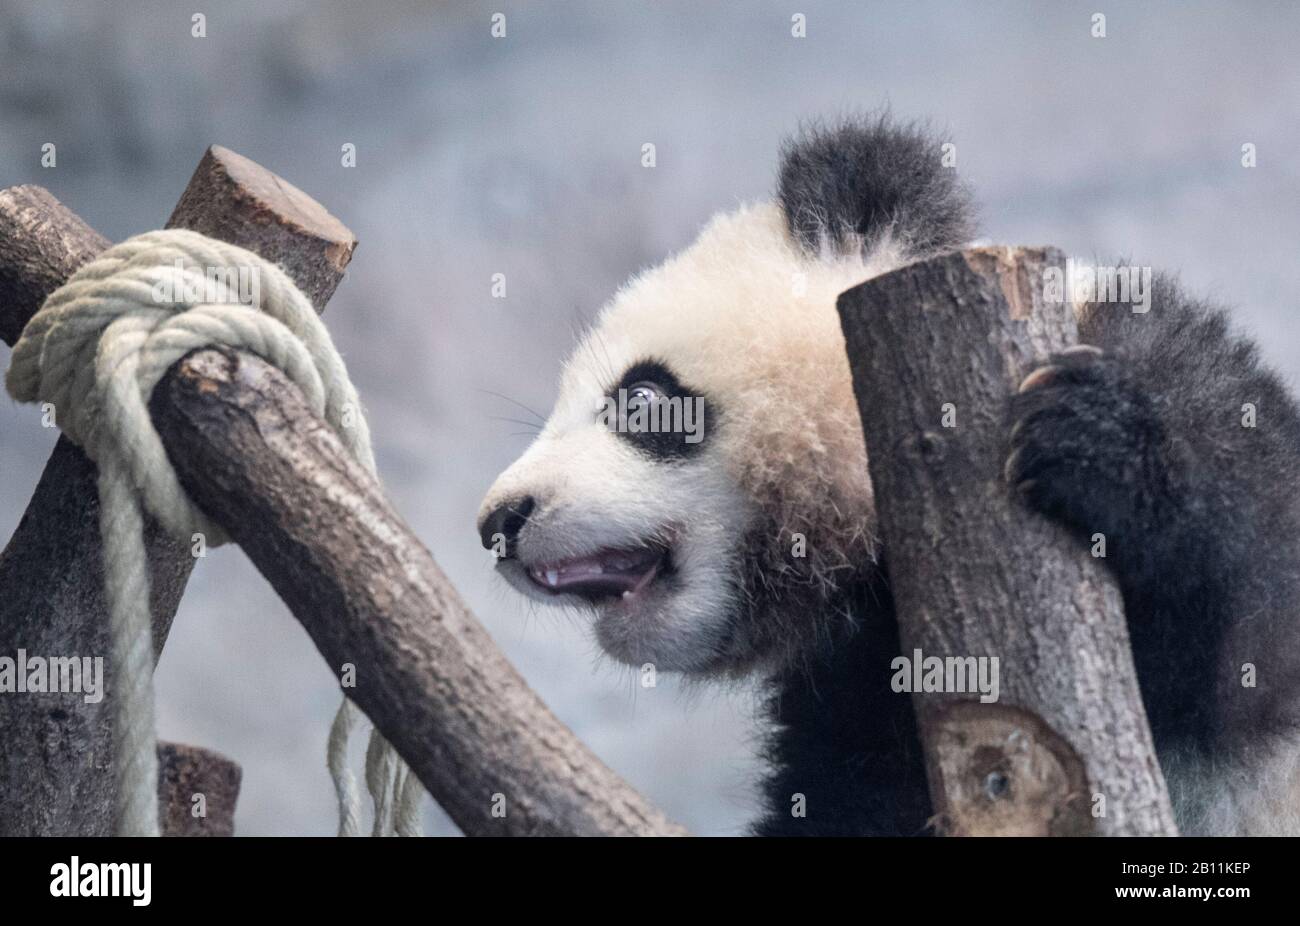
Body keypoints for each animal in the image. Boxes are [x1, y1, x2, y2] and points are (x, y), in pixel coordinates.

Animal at [477, 114, 1300, 836]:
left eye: (642, 397)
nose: (499, 521)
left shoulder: (1176, 371)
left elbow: (1255, 624)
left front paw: (1098, 449)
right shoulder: (849, 696)